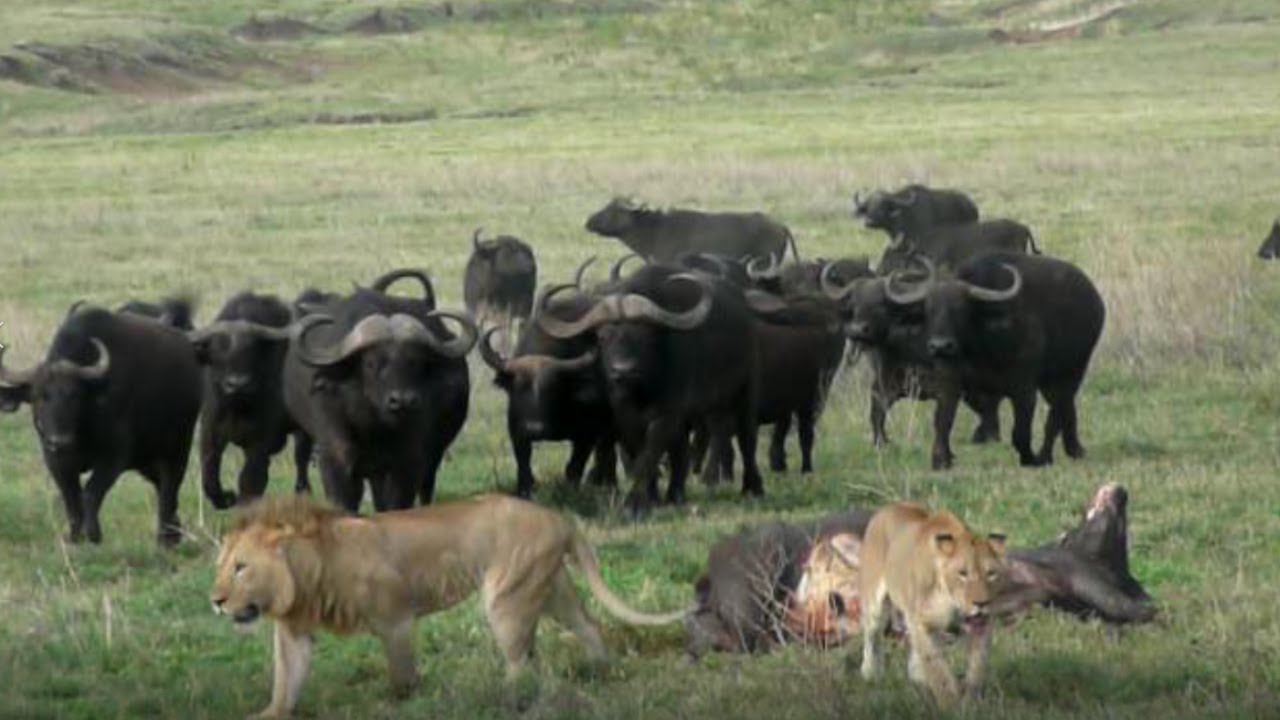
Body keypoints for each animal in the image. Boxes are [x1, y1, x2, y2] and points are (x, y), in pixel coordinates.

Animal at [210, 493, 687, 718]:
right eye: (222, 567)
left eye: (240, 567)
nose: (215, 601)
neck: (312, 570)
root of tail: (560, 517)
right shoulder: (293, 631)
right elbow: (285, 681)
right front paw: (268, 714)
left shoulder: (396, 619)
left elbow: (403, 677)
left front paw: (401, 706)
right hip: (552, 588)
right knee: (588, 626)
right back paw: (603, 670)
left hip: (506, 598)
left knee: (520, 662)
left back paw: (500, 696)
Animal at [857, 502, 1007, 707]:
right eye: (963, 573)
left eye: (991, 573)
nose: (982, 603)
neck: (953, 602)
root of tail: (891, 506)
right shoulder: (921, 621)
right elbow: (936, 666)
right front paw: (950, 702)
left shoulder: (983, 623)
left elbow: (978, 663)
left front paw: (972, 698)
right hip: (875, 603)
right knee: (872, 635)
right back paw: (870, 673)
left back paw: (918, 679)